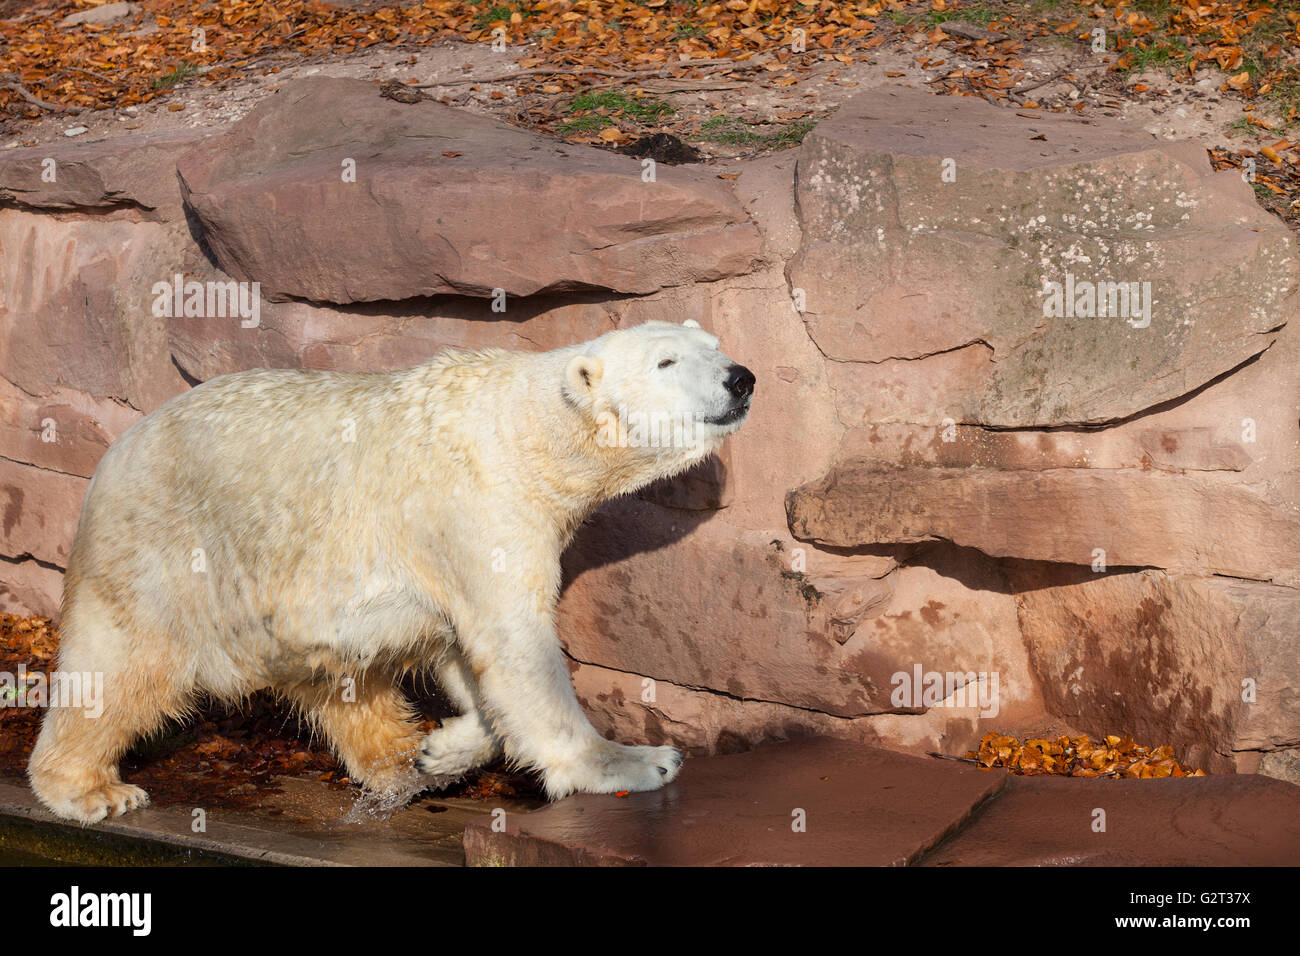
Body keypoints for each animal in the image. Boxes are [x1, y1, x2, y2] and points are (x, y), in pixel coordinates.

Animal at [28, 319, 755, 824]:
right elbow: (515, 645)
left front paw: (449, 745)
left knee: (340, 679)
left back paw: (404, 761)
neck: (529, 434)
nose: (741, 377)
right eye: (666, 361)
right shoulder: (477, 508)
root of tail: (117, 448)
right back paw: (89, 790)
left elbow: (462, 650)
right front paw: (638, 760)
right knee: (121, 666)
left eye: (714, 346)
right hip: (165, 550)